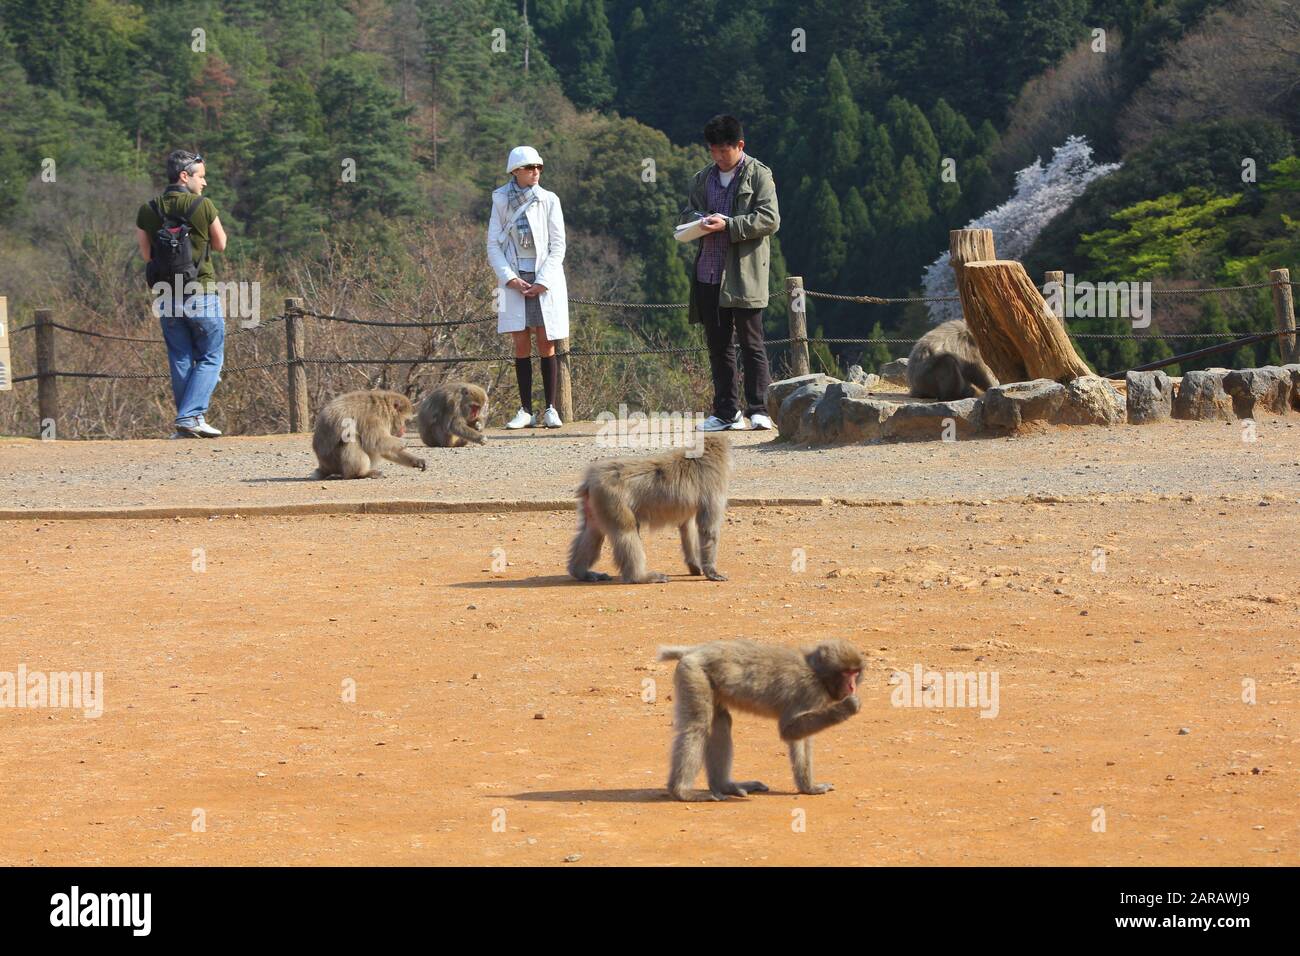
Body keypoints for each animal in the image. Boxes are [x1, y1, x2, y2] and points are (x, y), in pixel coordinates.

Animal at [568, 434, 732, 585]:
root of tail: (591, 479)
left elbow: (686, 527)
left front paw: (694, 566)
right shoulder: (714, 486)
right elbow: (708, 530)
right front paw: (711, 571)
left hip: (597, 502)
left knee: (592, 531)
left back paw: (581, 573)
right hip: (611, 498)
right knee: (626, 531)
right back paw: (639, 577)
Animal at [657, 639, 864, 801]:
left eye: (855, 672)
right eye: (846, 673)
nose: (852, 686)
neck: (817, 673)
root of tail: (694, 650)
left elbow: (799, 738)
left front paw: (809, 788)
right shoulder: (808, 692)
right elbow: (789, 729)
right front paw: (846, 707)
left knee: (721, 724)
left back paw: (724, 786)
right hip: (694, 673)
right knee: (698, 727)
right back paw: (683, 792)